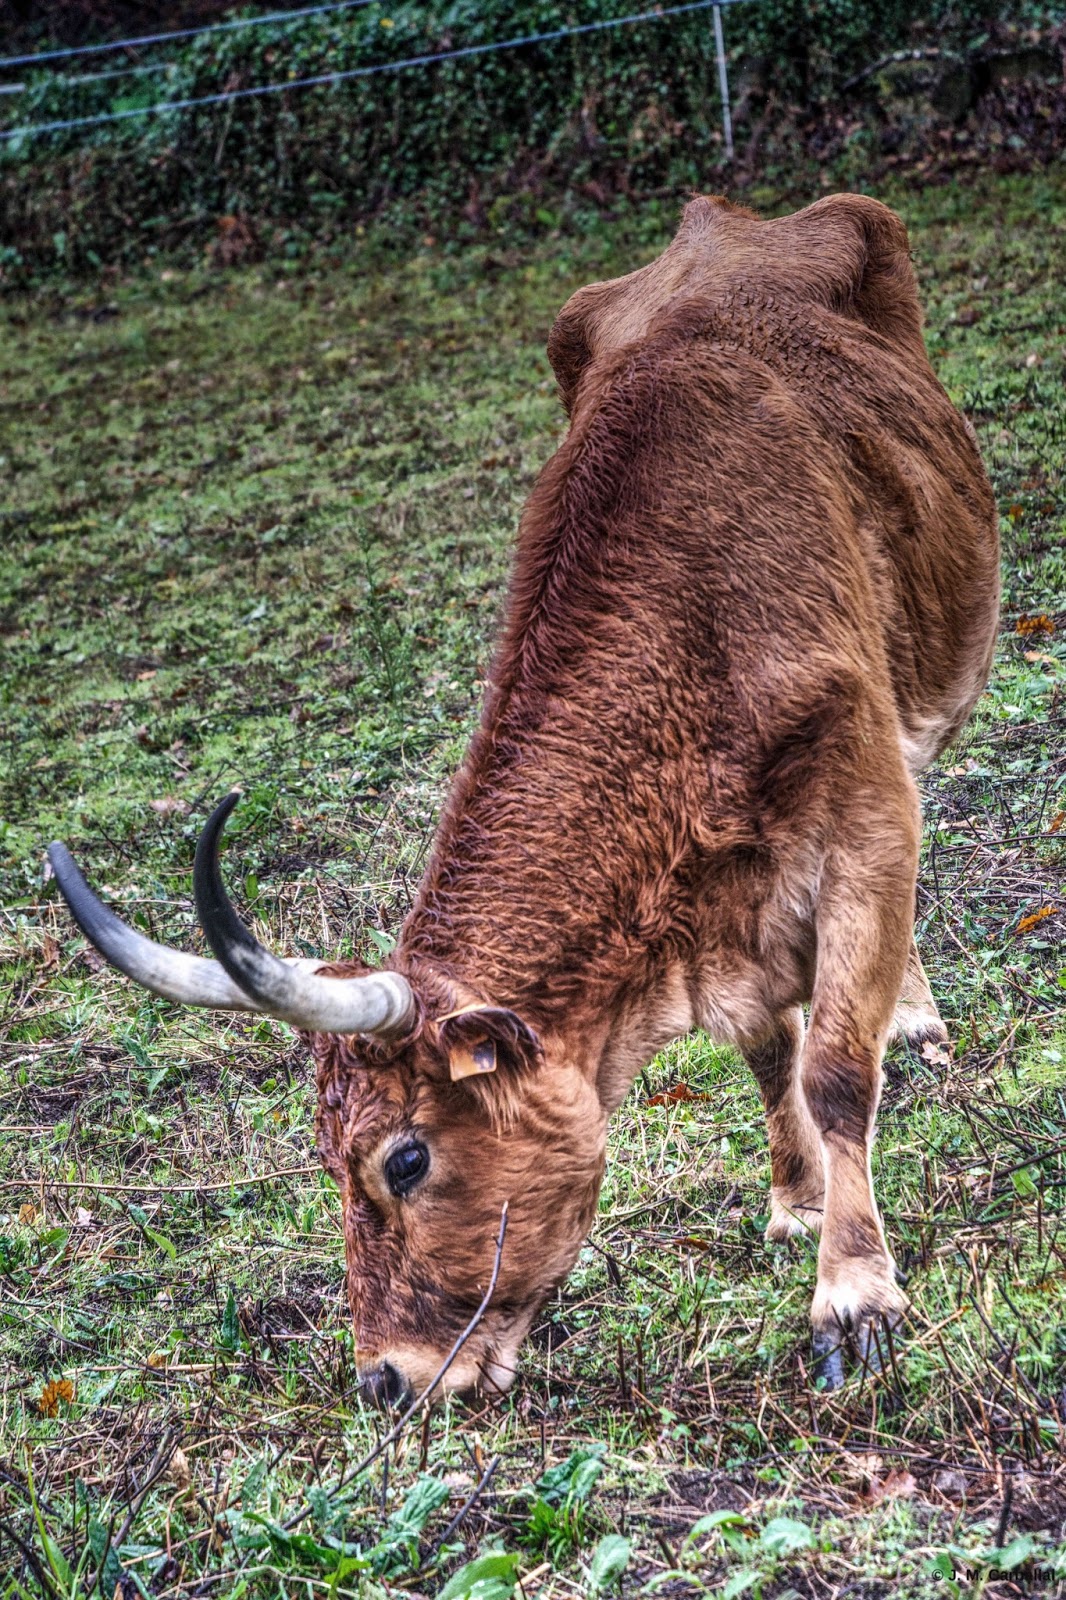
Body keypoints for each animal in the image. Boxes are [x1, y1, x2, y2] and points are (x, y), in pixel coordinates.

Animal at [49, 192, 999, 1404]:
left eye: (406, 1157)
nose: (384, 1377)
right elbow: (769, 1049)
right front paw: (794, 1202)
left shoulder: (863, 813)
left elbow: (835, 1066)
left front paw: (854, 1293)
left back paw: (914, 1015)